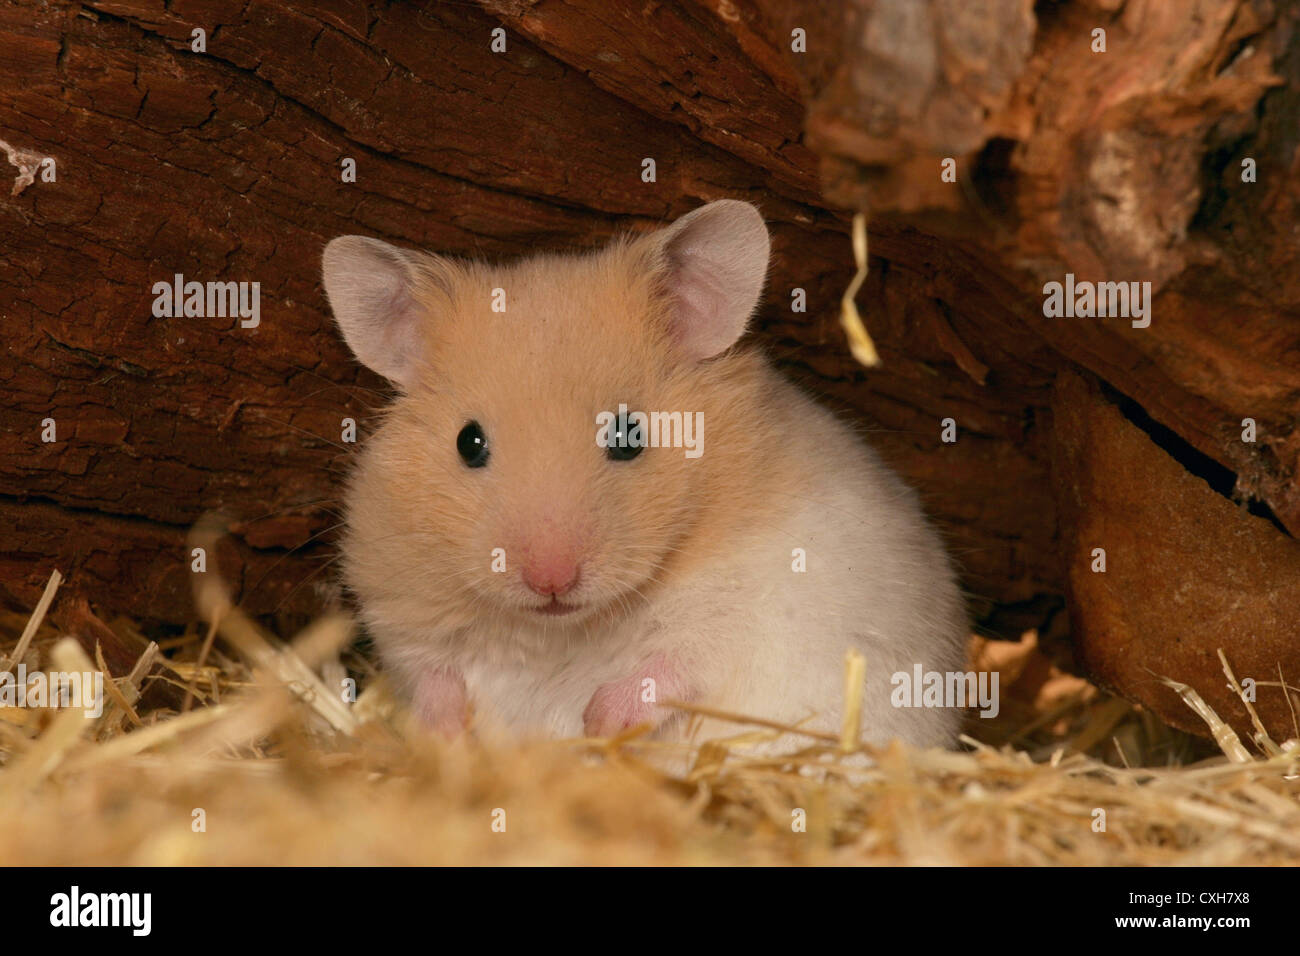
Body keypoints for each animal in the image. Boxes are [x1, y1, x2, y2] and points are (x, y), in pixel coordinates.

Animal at [321, 200, 968, 753]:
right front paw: (445, 739)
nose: (550, 581)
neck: (565, 628)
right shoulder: (398, 608)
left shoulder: (751, 608)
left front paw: (595, 720)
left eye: (629, 436)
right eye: (468, 443)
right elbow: (430, 673)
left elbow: (674, 665)